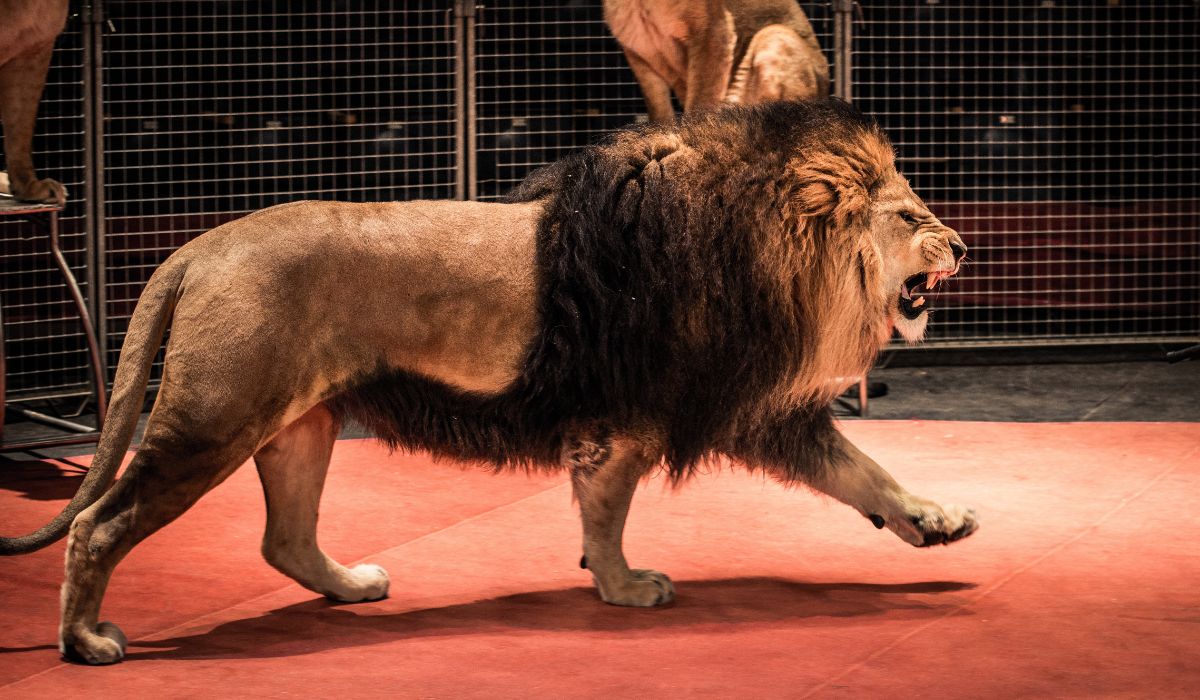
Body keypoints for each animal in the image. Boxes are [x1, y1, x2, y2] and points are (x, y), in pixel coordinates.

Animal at [0, 98, 975, 665]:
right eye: (910, 215)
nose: (964, 245)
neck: (760, 243)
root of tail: (201, 244)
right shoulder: (635, 416)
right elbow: (607, 515)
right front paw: (624, 588)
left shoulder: (747, 409)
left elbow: (862, 471)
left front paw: (936, 521)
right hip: (215, 416)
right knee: (97, 524)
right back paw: (85, 640)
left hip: (299, 424)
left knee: (283, 538)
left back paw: (351, 586)